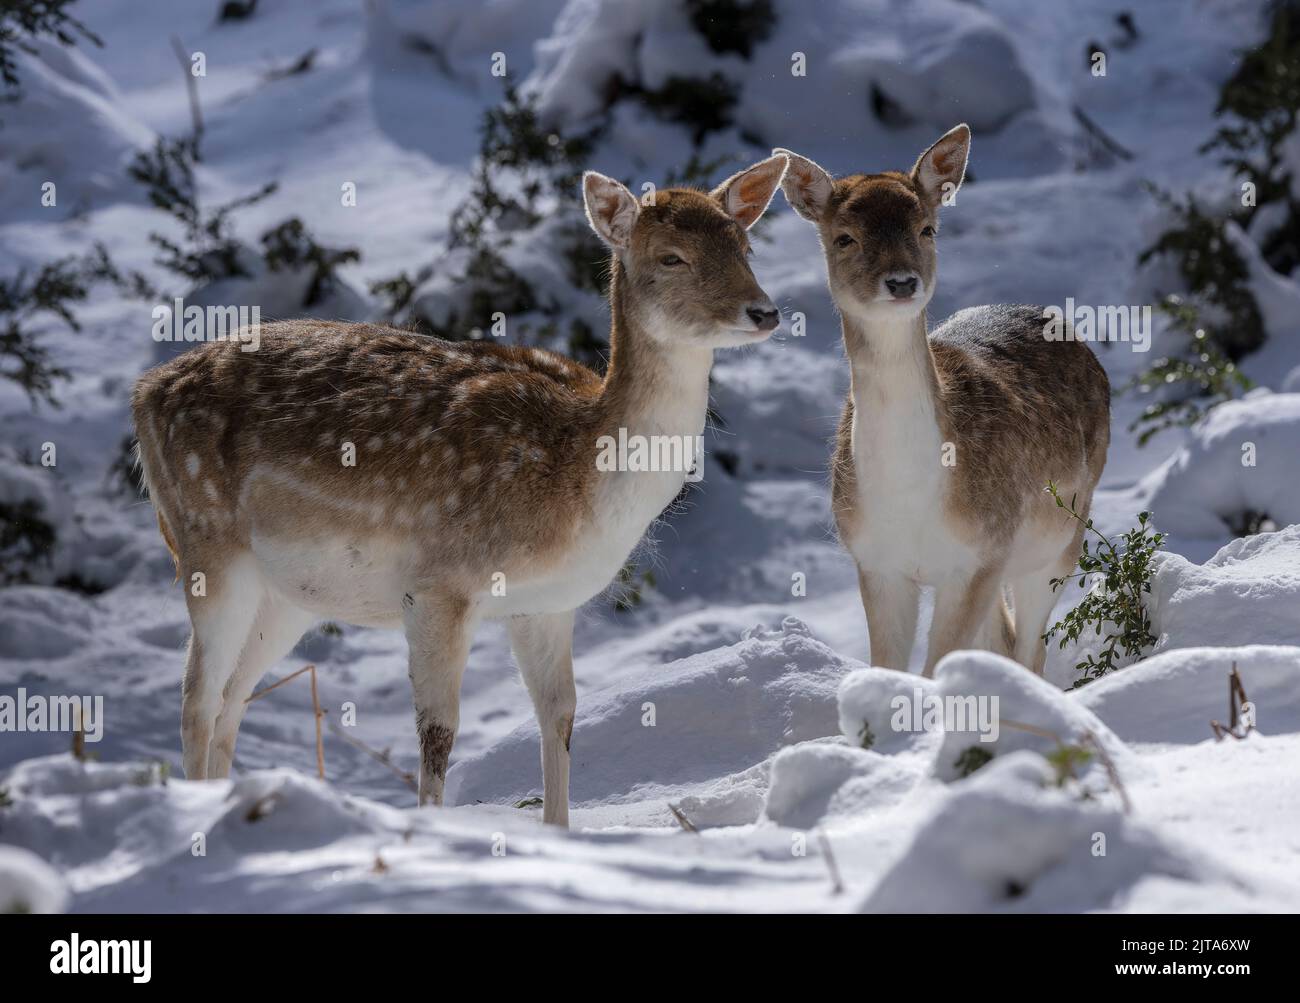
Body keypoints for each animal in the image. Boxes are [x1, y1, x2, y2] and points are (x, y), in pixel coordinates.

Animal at [131, 155, 790, 827]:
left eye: (745, 245)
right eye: (671, 256)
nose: (763, 311)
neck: (580, 479)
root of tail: (144, 392)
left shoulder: (546, 605)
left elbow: (561, 715)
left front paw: (559, 830)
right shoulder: (438, 584)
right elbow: (439, 732)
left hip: (288, 596)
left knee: (233, 698)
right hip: (209, 542)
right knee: (197, 700)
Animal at [774, 126, 1110, 677]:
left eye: (927, 229)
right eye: (845, 237)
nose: (901, 281)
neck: (915, 496)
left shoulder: (979, 554)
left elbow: (937, 669)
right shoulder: (875, 560)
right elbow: (889, 666)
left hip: (1061, 538)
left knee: (1030, 647)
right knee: (1005, 639)